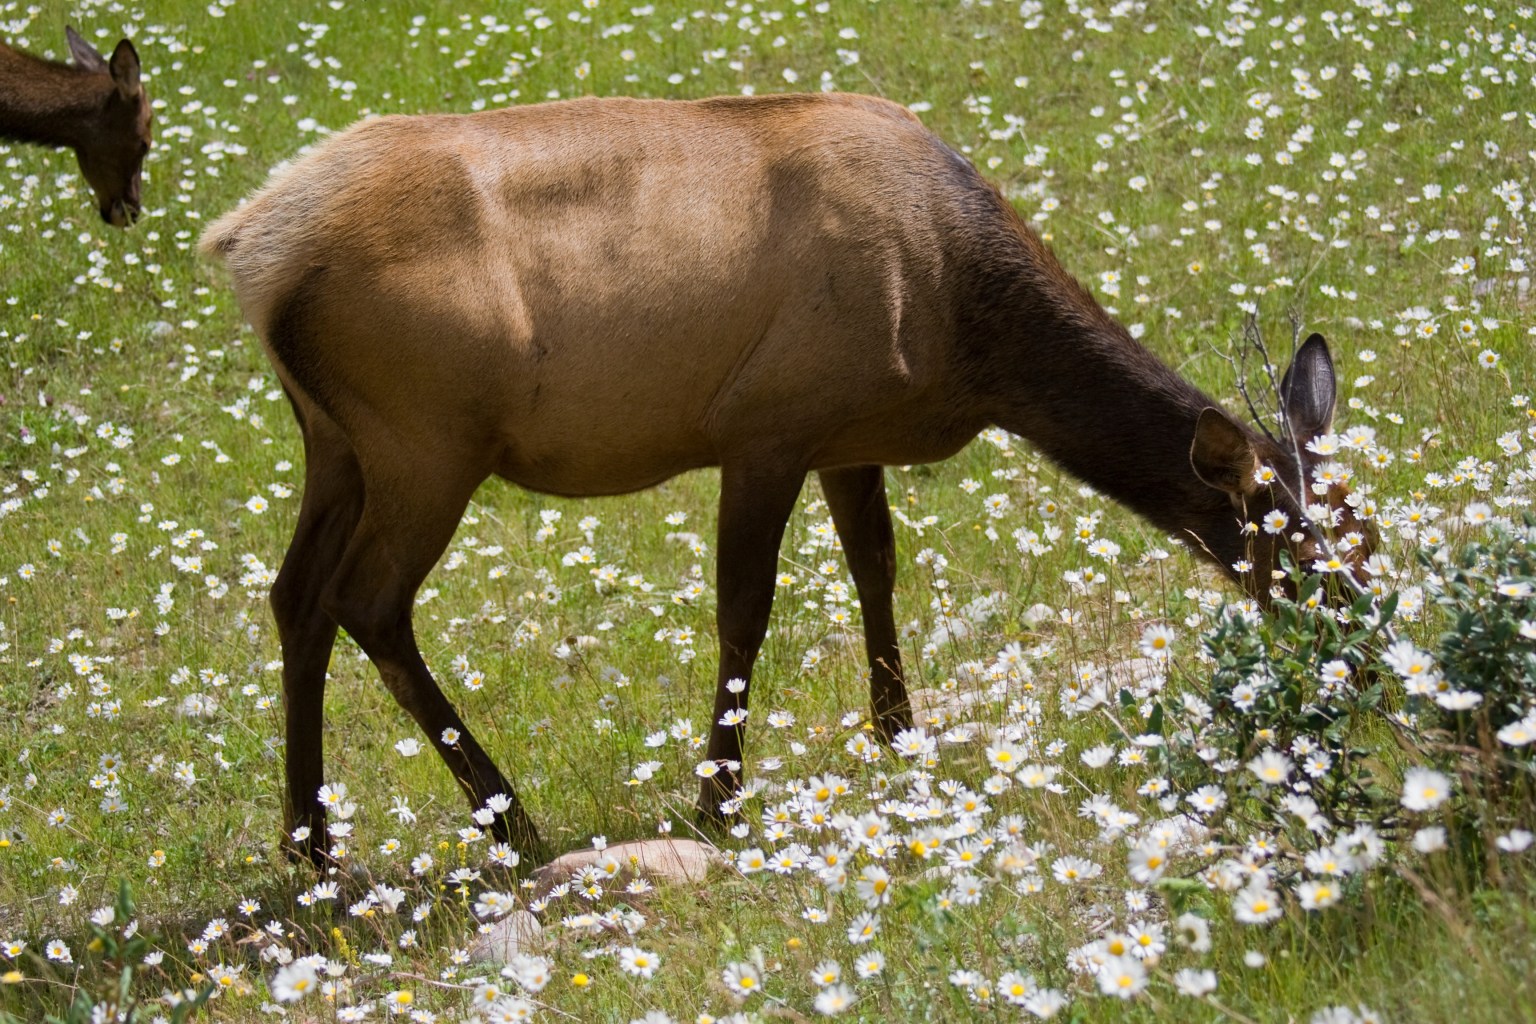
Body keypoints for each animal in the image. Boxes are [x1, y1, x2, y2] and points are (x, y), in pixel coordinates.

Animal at [200, 92, 1372, 866]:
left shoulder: (848, 433)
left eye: (1364, 528)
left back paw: (312, 843)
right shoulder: (765, 426)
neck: (970, 337)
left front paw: (900, 736)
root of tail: (253, 249)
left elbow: (877, 568)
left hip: (335, 442)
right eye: (1295, 548)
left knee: (296, 597)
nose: (1368, 653)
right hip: (427, 439)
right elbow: (744, 609)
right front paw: (717, 799)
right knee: (369, 602)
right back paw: (512, 821)